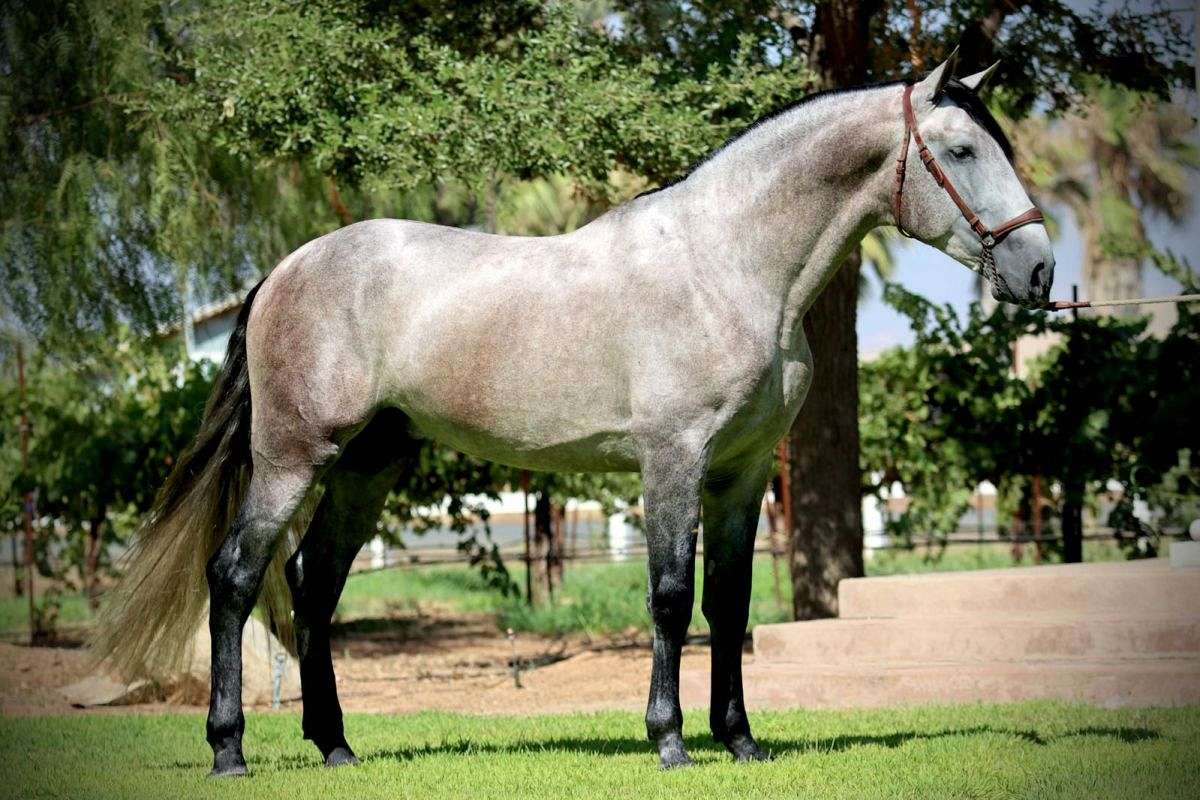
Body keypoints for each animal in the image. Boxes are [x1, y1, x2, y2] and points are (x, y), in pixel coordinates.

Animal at [92, 52, 1054, 776]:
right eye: (963, 150)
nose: (1039, 270)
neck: (727, 268)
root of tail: (282, 272)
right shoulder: (674, 460)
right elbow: (670, 597)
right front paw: (669, 743)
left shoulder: (741, 476)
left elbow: (730, 603)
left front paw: (740, 742)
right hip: (293, 459)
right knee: (235, 577)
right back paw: (229, 753)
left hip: (368, 466)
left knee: (312, 585)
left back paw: (336, 748)